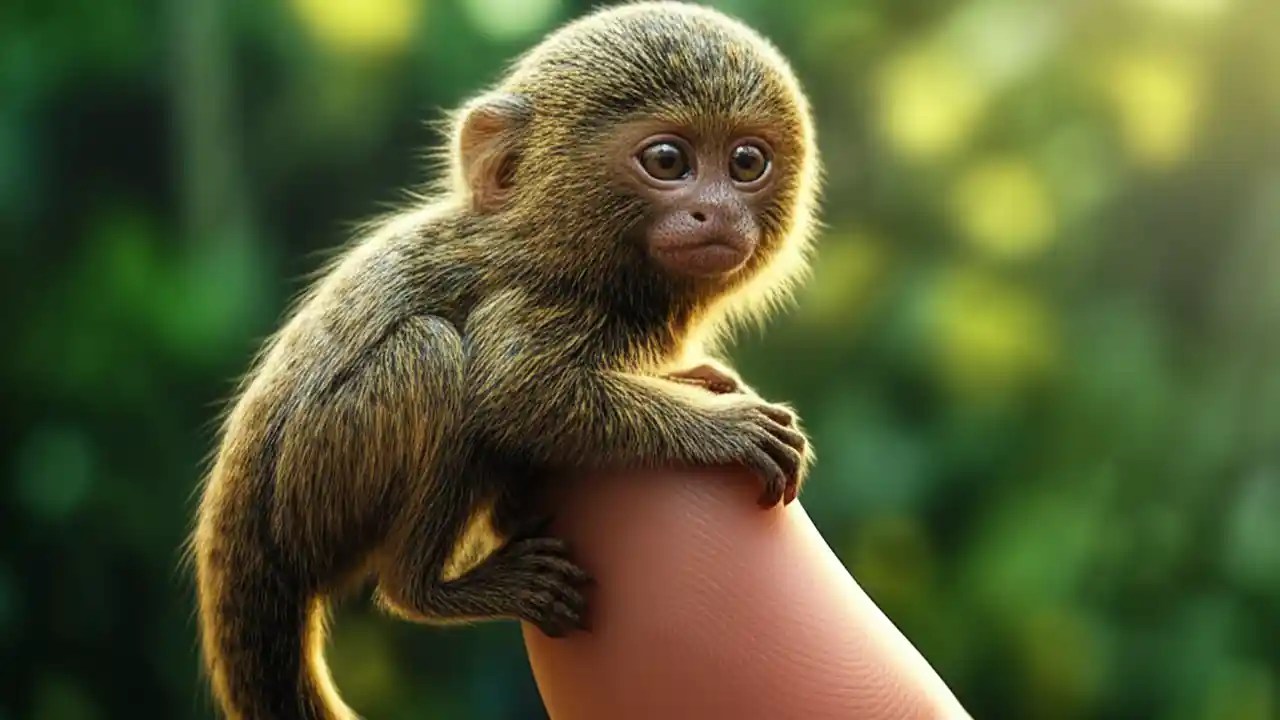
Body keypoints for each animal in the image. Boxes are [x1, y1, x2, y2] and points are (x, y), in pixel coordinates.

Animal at [191, 3, 821, 718]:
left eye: (746, 161)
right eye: (667, 160)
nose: (714, 211)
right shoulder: (535, 297)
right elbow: (513, 392)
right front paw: (728, 429)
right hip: (317, 476)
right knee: (433, 355)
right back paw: (426, 587)